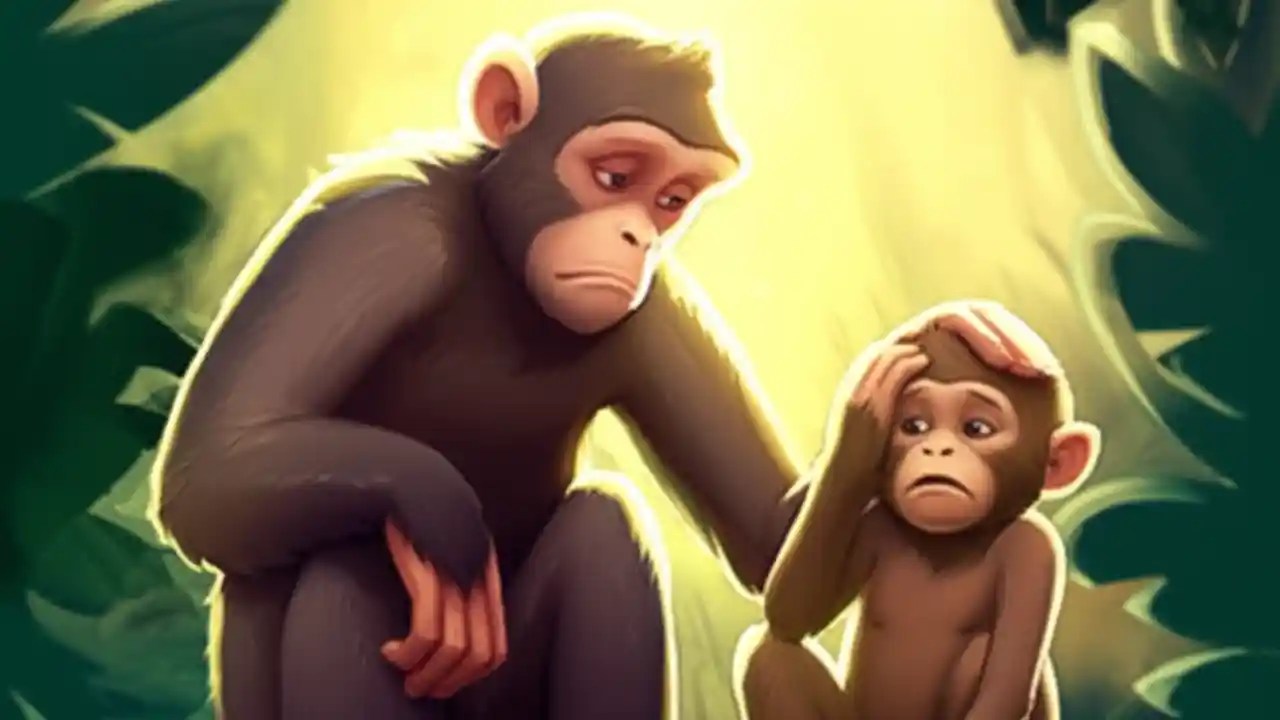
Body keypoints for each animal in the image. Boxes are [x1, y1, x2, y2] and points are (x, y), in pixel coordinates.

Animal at [737, 301, 1101, 720]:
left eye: (977, 428)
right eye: (914, 426)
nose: (936, 449)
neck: (947, 542)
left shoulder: (1034, 549)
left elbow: (1005, 688)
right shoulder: (873, 523)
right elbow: (789, 612)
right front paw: (865, 408)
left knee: (982, 654)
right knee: (771, 652)